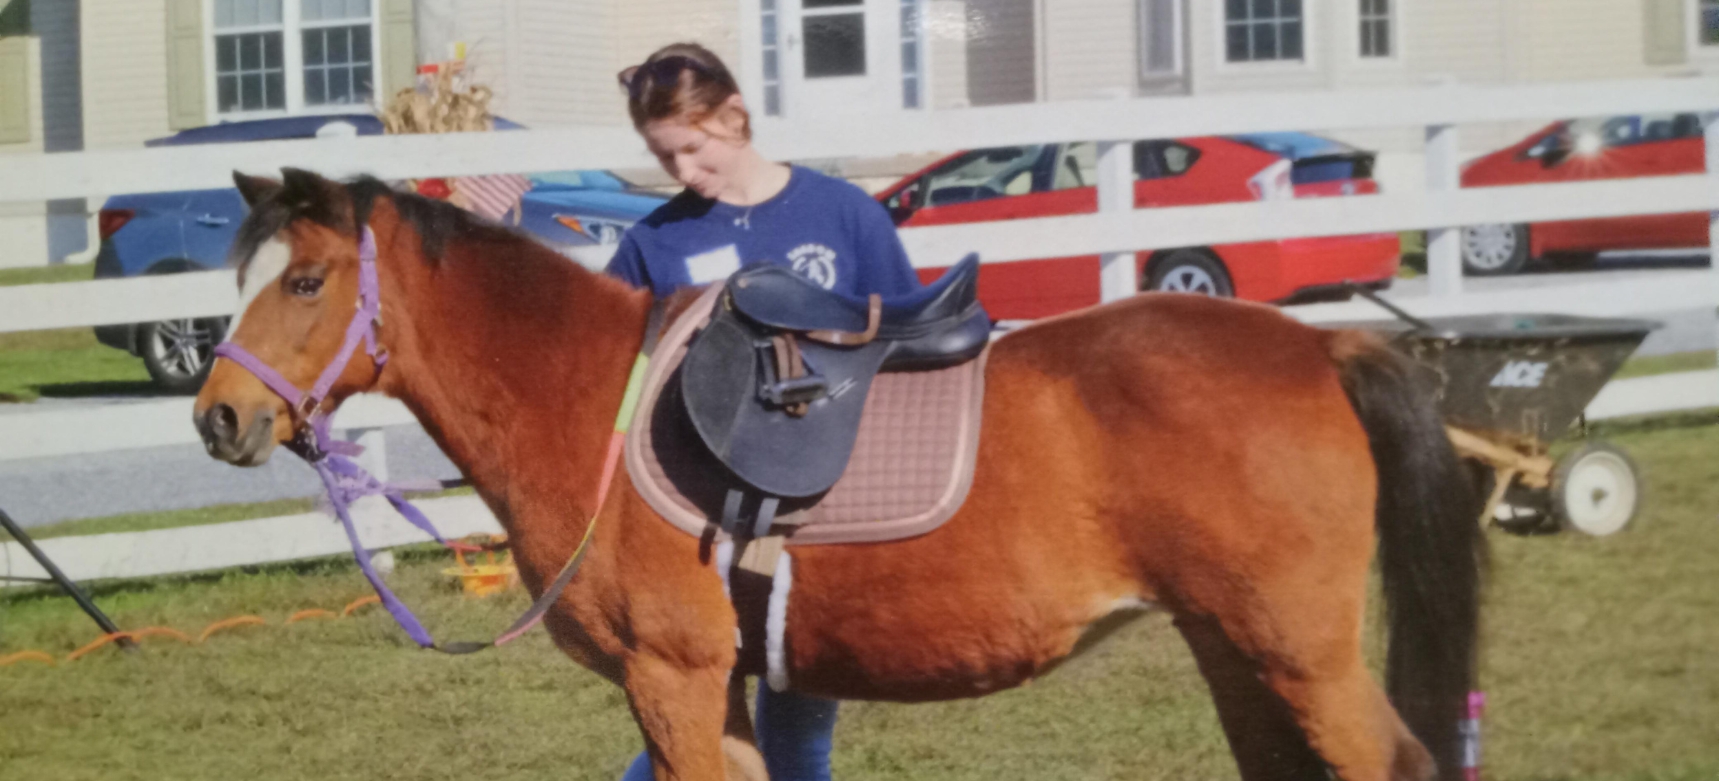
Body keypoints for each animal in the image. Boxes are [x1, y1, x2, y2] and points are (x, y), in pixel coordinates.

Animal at [194, 168, 1483, 781]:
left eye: (304, 281)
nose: (218, 415)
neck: (592, 398)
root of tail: (1320, 345)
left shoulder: (669, 677)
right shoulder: (715, 687)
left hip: (1298, 654)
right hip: (1235, 646)